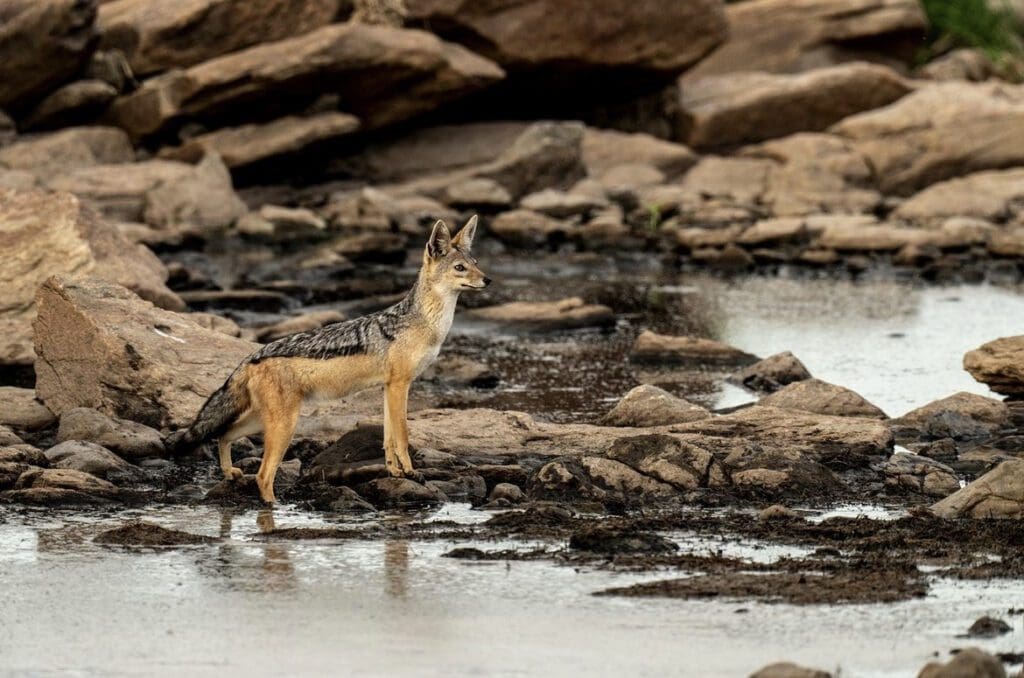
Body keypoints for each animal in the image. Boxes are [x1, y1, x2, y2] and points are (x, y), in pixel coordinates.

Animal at [166, 215, 490, 504]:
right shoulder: (400, 385)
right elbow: (402, 436)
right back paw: (275, 507)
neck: (425, 323)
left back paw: (230, 474)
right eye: (460, 268)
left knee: (223, 435)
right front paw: (411, 473)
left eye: (475, 263)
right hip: (284, 427)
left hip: (261, 421)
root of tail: (251, 357)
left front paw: (395, 473)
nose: (488, 280)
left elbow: (388, 439)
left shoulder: (389, 388)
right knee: (262, 475)